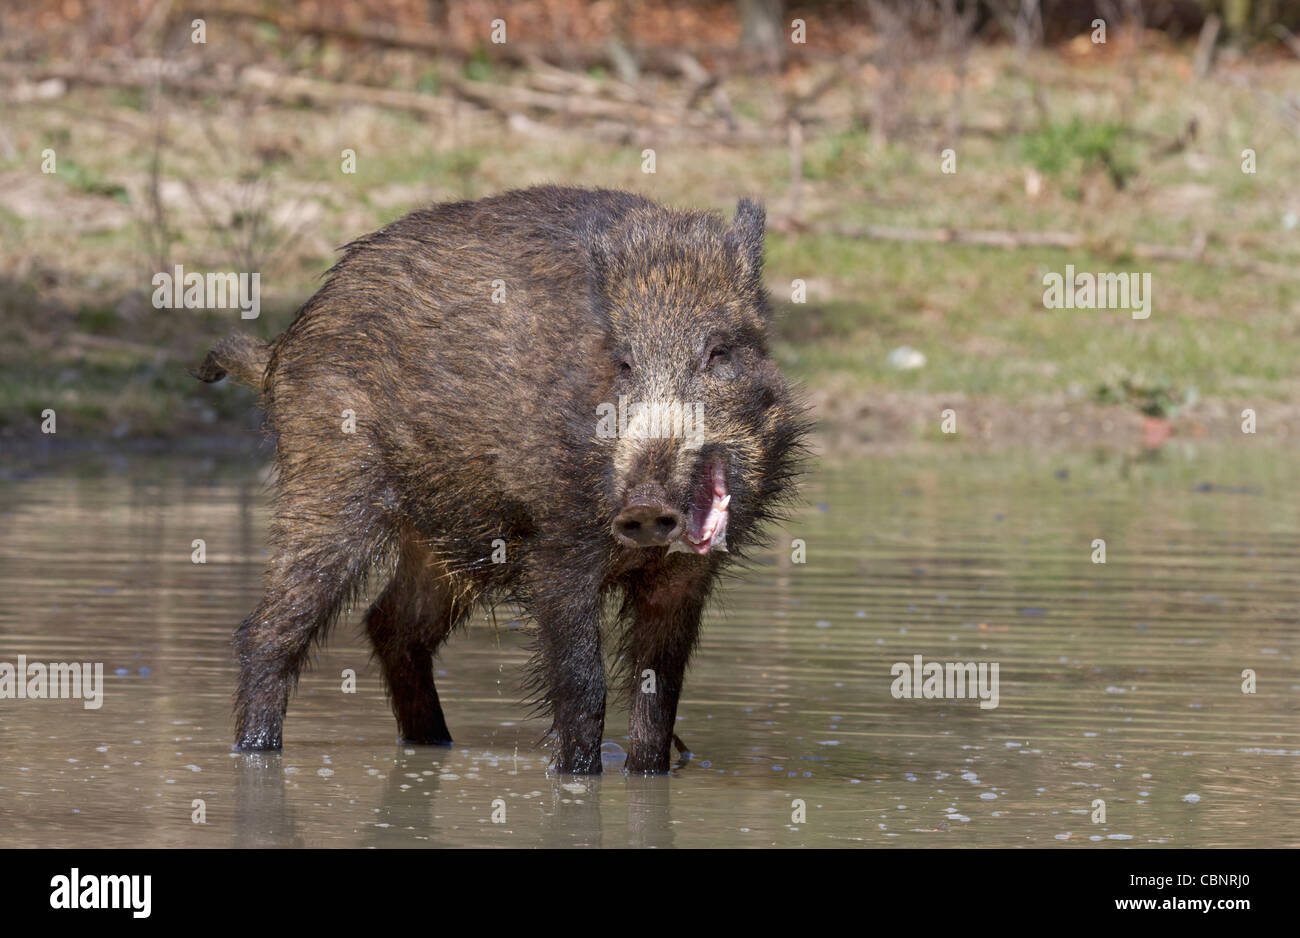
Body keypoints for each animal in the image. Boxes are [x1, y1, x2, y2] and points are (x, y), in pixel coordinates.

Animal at [194, 186, 807, 773]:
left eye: (719, 353)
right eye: (624, 363)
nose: (645, 507)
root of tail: (281, 347)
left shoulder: (683, 580)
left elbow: (659, 702)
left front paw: (650, 773)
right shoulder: (557, 547)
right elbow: (583, 685)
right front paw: (576, 775)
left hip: (443, 537)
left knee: (391, 625)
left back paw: (435, 743)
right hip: (328, 479)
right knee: (272, 631)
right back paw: (257, 750)